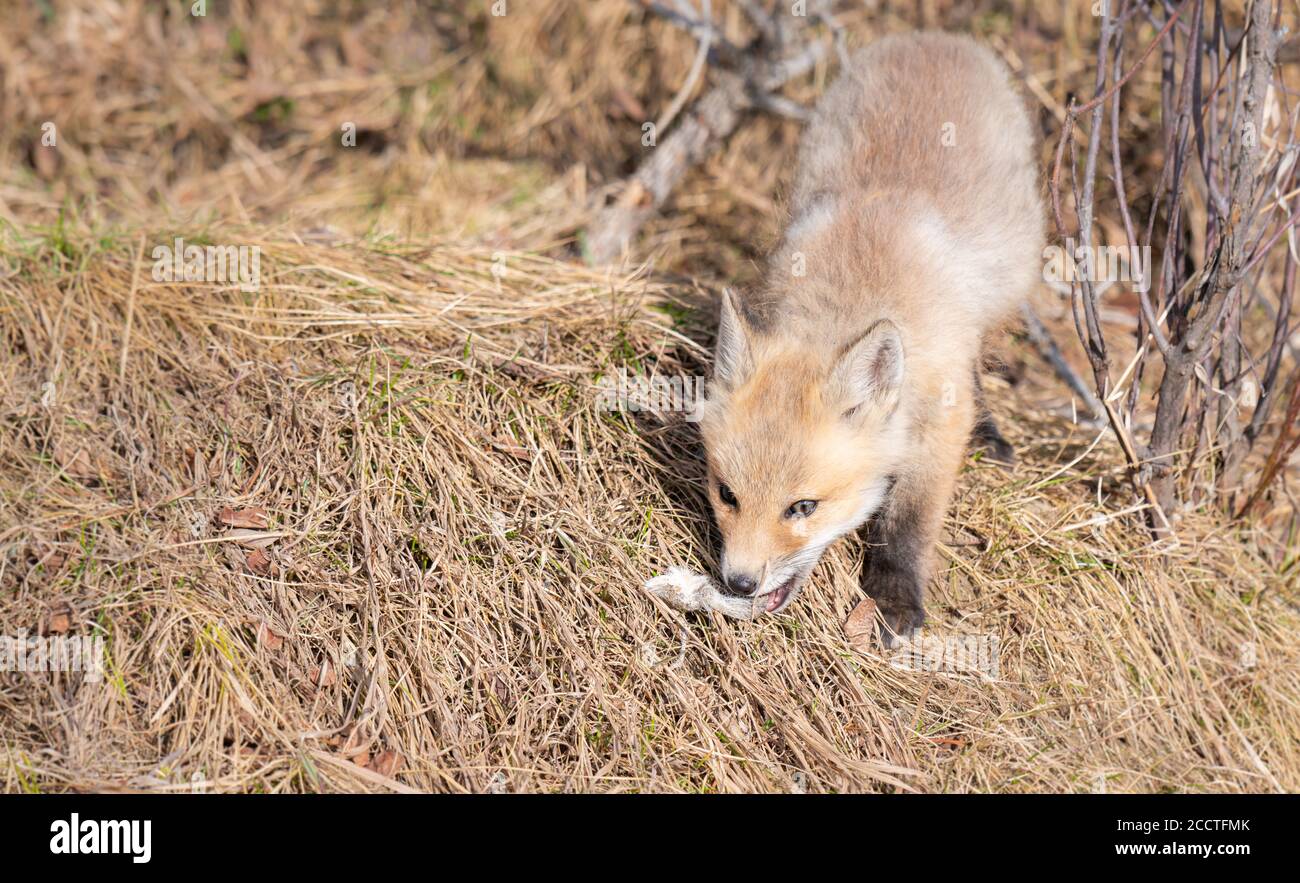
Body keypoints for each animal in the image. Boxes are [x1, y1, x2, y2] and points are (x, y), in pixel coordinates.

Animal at [699, 32, 1044, 646]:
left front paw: (895, 595)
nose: (738, 582)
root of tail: (936, 38)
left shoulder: (938, 412)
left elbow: (911, 518)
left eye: (803, 507)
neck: (856, 298)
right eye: (727, 494)